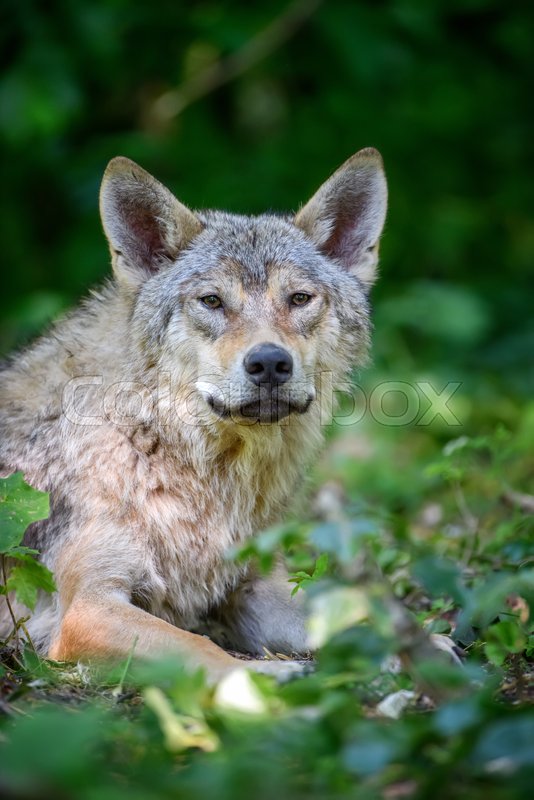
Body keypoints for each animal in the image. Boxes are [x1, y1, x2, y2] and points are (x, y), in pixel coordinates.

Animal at [0, 149, 387, 681]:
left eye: (299, 299)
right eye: (212, 301)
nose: (270, 362)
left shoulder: (252, 585)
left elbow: (346, 617)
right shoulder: (87, 610)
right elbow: (200, 647)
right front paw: (265, 680)